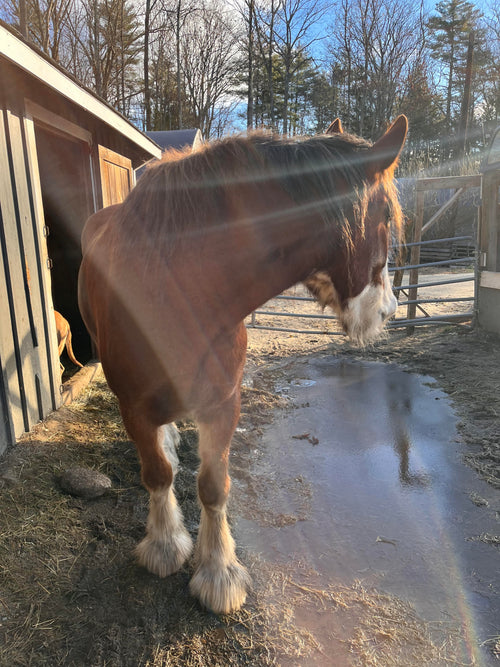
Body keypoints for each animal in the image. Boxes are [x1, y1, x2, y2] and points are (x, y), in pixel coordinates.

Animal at [78, 116, 407, 614]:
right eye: (386, 216)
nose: (387, 311)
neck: (177, 290)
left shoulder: (223, 404)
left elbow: (214, 486)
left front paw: (218, 572)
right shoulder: (132, 406)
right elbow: (156, 474)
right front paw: (165, 544)